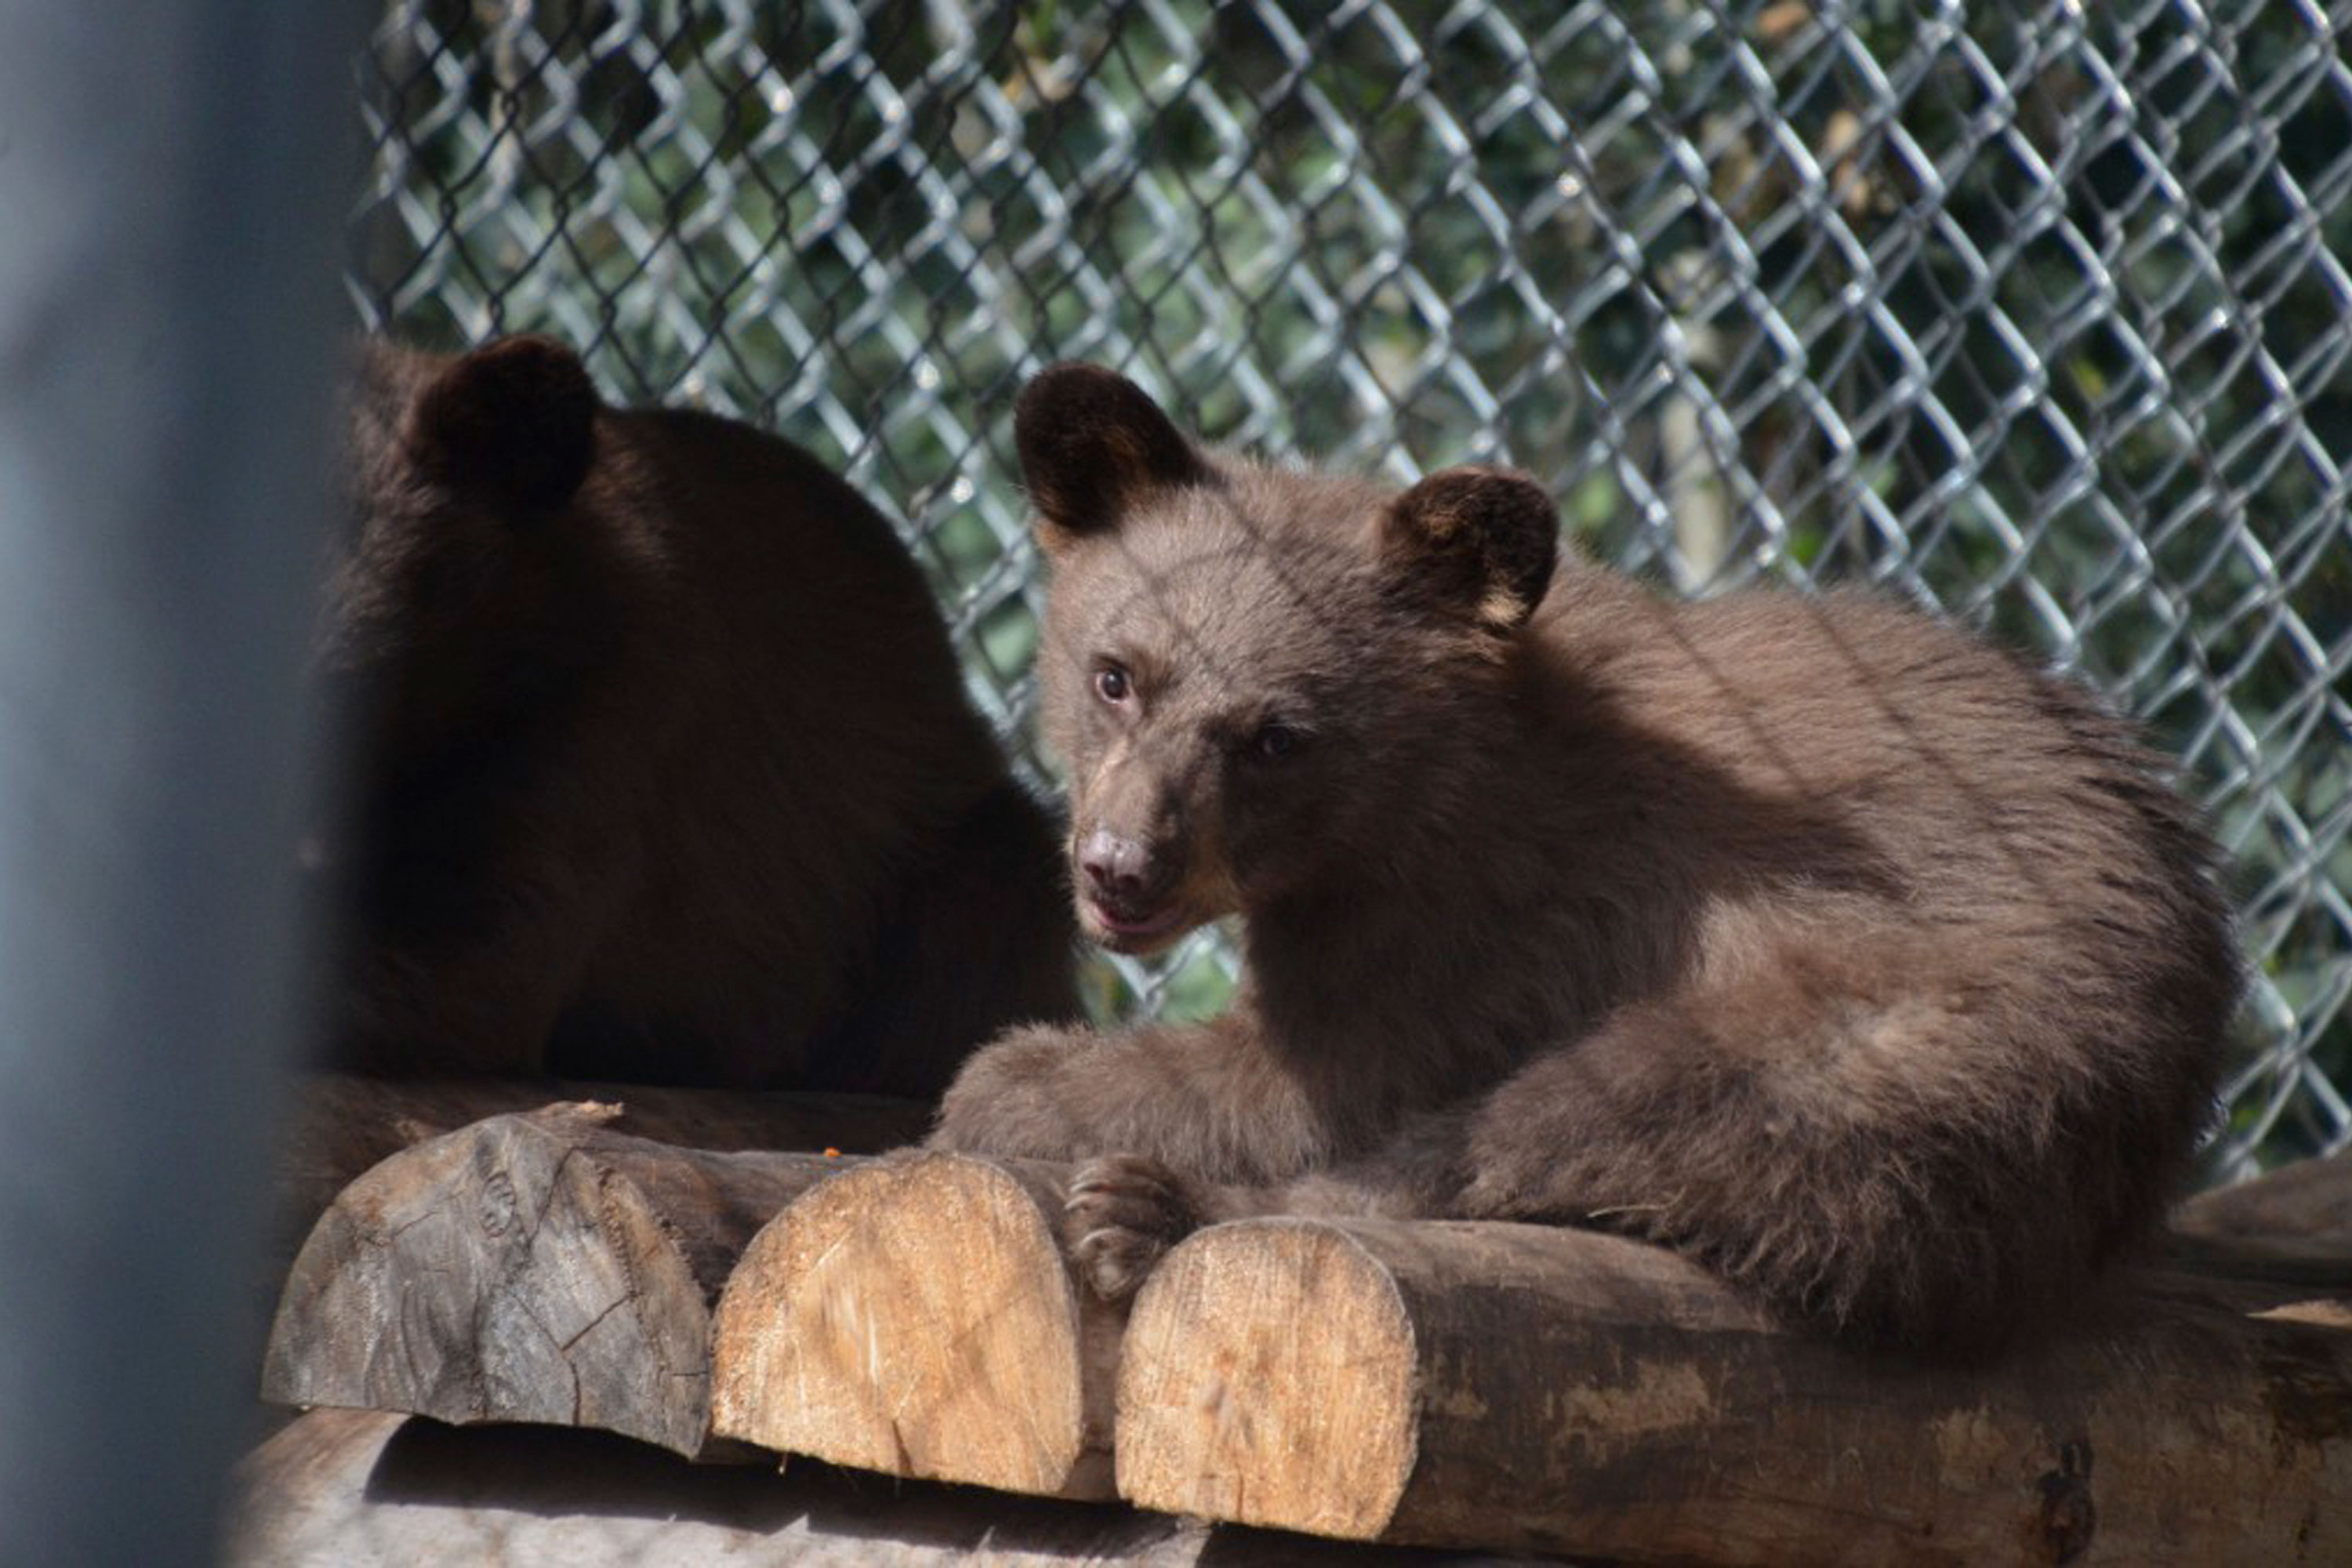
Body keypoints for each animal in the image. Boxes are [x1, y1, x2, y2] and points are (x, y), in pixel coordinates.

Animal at [928, 361, 2242, 1348]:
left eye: (1277, 735)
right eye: (1115, 675)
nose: (1120, 869)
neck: (1426, 782)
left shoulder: (1487, 898)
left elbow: (1320, 1082)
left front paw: (1008, 1080)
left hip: (1900, 1024)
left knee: (1568, 1123)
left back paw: (1149, 1215)